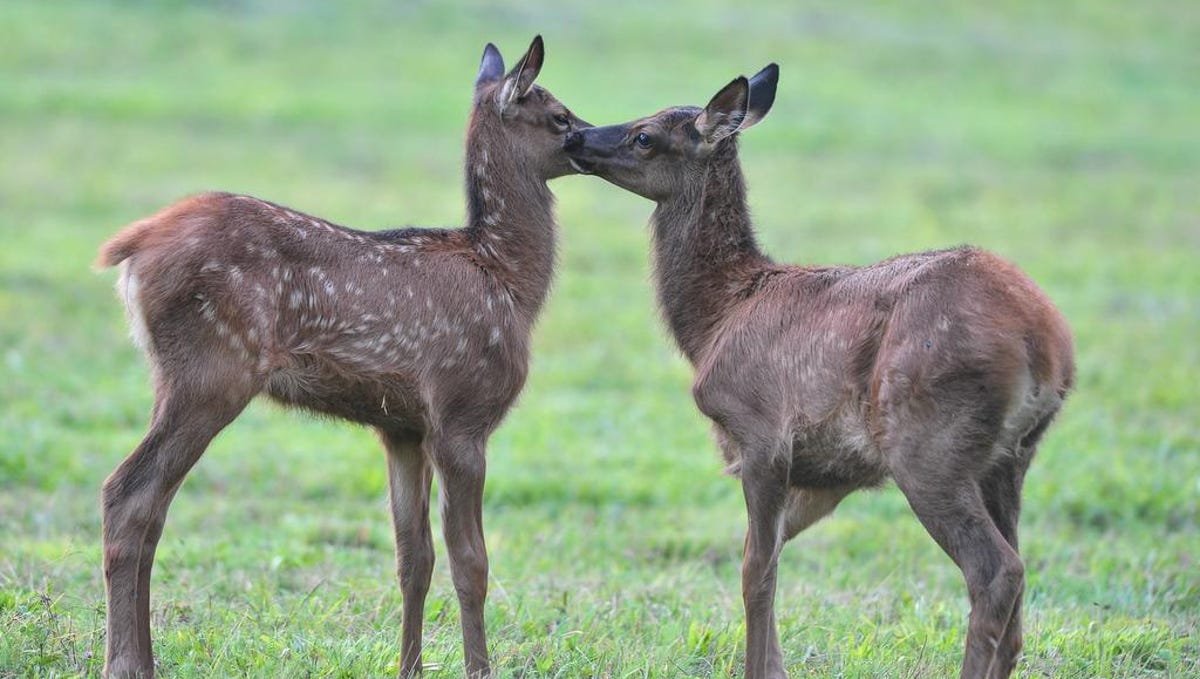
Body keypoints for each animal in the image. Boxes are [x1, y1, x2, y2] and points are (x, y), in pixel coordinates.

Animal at [93, 36, 589, 679]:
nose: (593, 138)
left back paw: (144, 659)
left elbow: (414, 559)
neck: (507, 279)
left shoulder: (402, 426)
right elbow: (471, 562)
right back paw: (124, 663)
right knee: (128, 493)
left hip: (174, 374)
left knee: (152, 505)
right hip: (213, 370)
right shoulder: (462, 414)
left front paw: (409, 668)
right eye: (558, 116)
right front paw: (480, 669)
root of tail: (133, 247)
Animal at [563, 64, 1074, 679]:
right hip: (1009, 457)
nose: (575, 136)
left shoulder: (761, 434)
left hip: (929, 442)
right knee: (1018, 578)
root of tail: (1046, 342)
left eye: (644, 135)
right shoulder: (828, 471)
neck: (717, 317)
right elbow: (769, 555)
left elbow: (755, 571)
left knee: (996, 570)